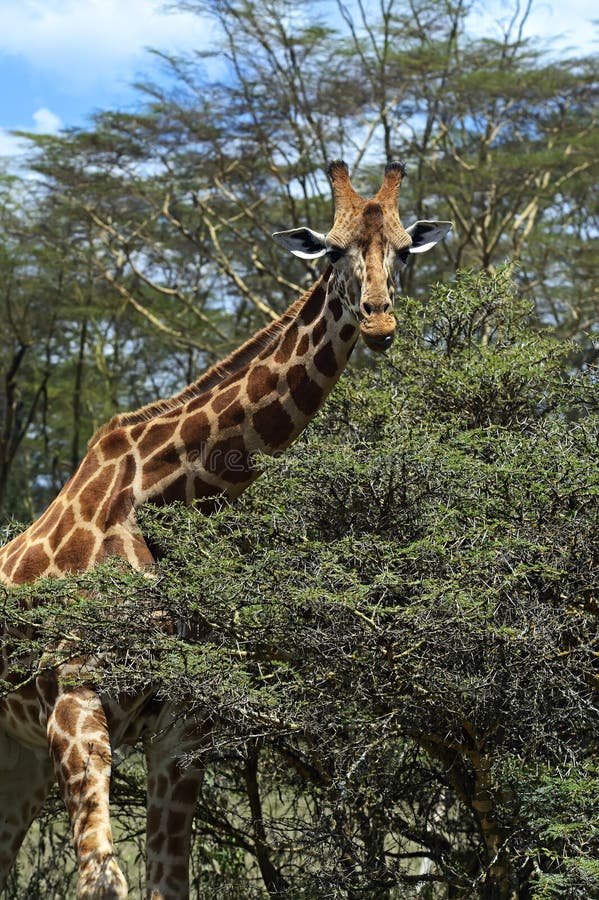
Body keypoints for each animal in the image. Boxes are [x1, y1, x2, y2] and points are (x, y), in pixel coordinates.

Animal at [0, 161, 451, 899]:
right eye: (332, 251)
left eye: (403, 251)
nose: (380, 321)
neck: (172, 501)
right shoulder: (75, 704)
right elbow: (103, 879)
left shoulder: (185, 731)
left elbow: (168, 883)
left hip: (18, 756)